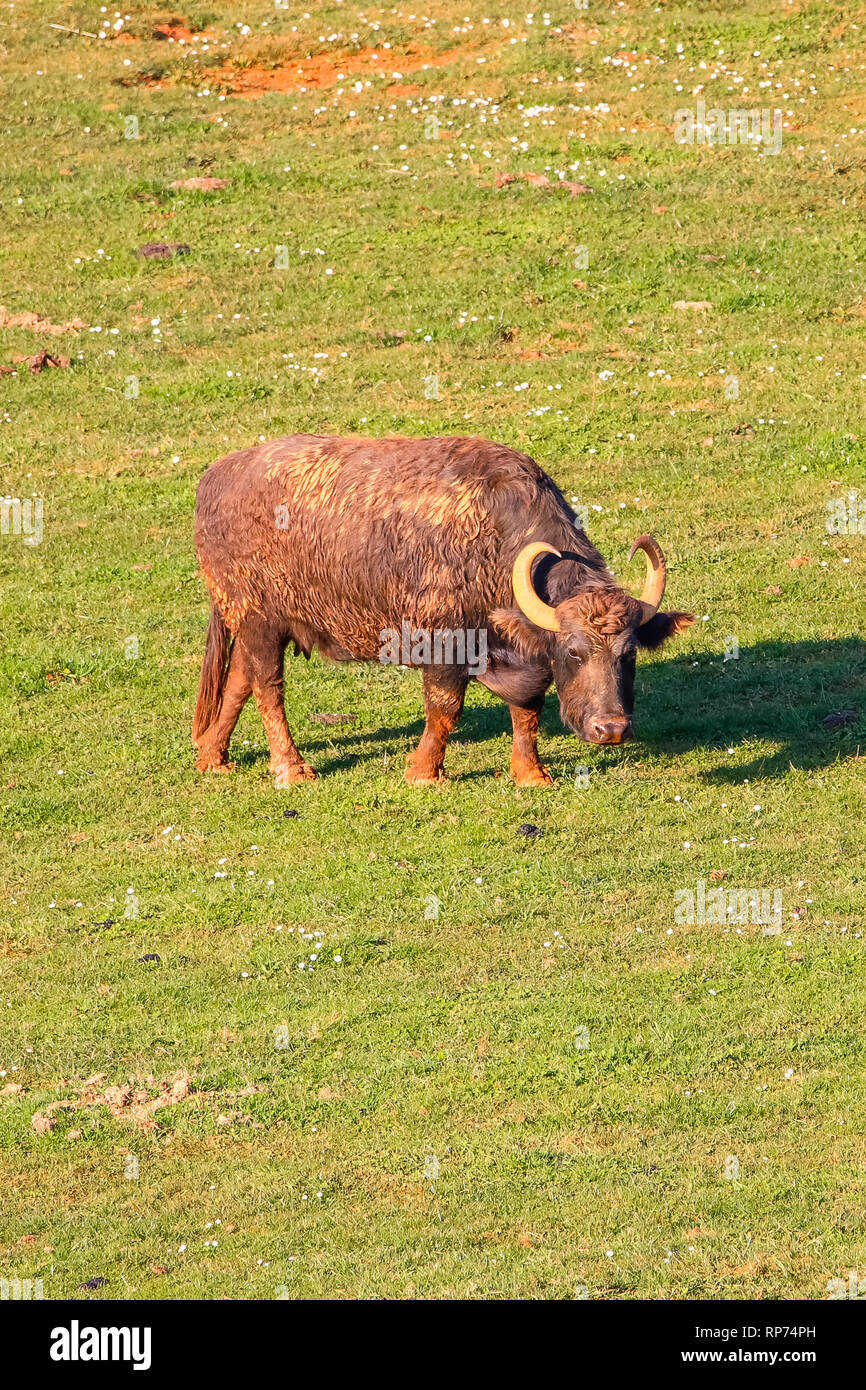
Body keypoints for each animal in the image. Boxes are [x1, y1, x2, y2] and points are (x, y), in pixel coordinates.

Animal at [193, 434, 693, 786]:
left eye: (628, 654)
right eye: (573, 652)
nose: (612, 728)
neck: (494, 545)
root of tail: (217, 476)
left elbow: (527, 709)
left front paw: (531, 774)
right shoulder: (442, 643)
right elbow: (445, 708)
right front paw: (424, 772)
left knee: (239, 679)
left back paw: (213, 757)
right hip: (257, 619)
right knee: (267, 688)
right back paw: (292, 769)